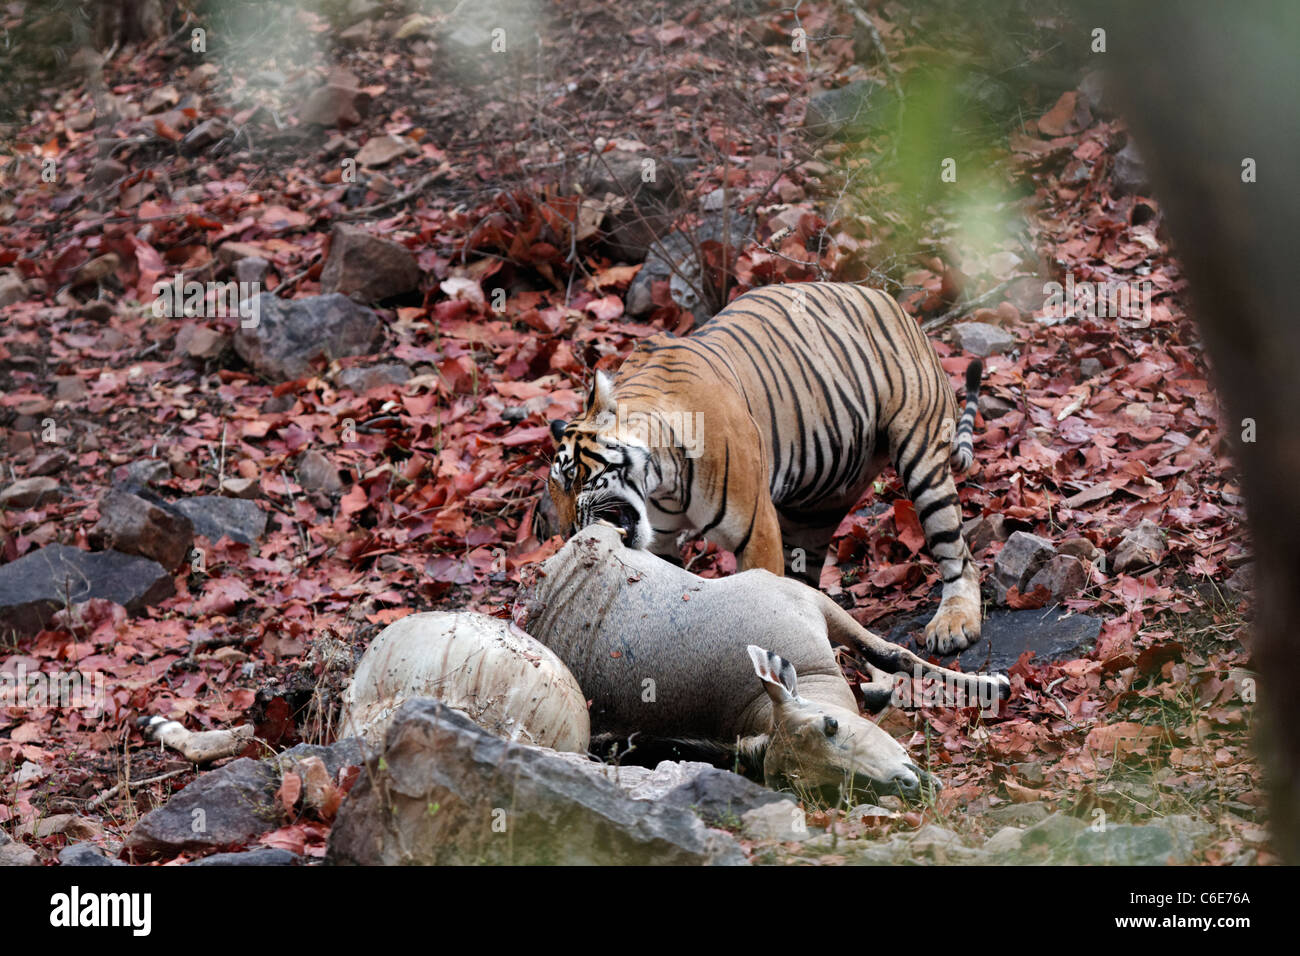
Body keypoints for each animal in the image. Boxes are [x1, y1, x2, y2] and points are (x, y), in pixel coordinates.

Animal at [547, 281, 985, 653]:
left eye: (571, 477)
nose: (569, 534)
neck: (661, 483)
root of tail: (896, 304)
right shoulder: (661, 544)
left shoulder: (756, 529)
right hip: (816, 507)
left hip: (921, 456)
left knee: (960, 554)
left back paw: (954, 623)